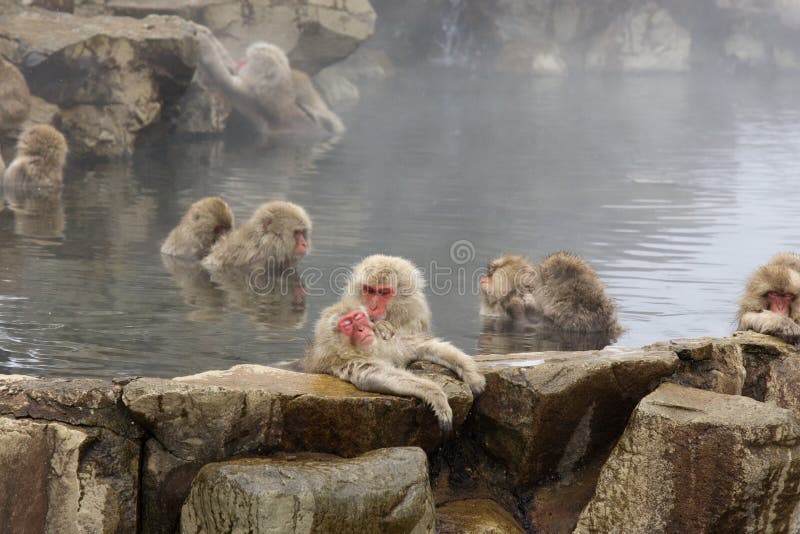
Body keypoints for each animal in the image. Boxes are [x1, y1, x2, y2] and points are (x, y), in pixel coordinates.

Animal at [193, 25, 344, 139]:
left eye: (248, 61)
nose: (241, 61)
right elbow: (230, 66)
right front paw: (205, 32)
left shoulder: (252, 99)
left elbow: (224, 77)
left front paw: (204, 43)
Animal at [304, 301, 486, 431]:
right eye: (347, 324)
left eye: (358, 317)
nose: (362, 329)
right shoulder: (348, 363)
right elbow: (375, 375)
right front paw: (435, 394)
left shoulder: (389, 344)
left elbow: (424, 347)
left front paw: (471, 374)